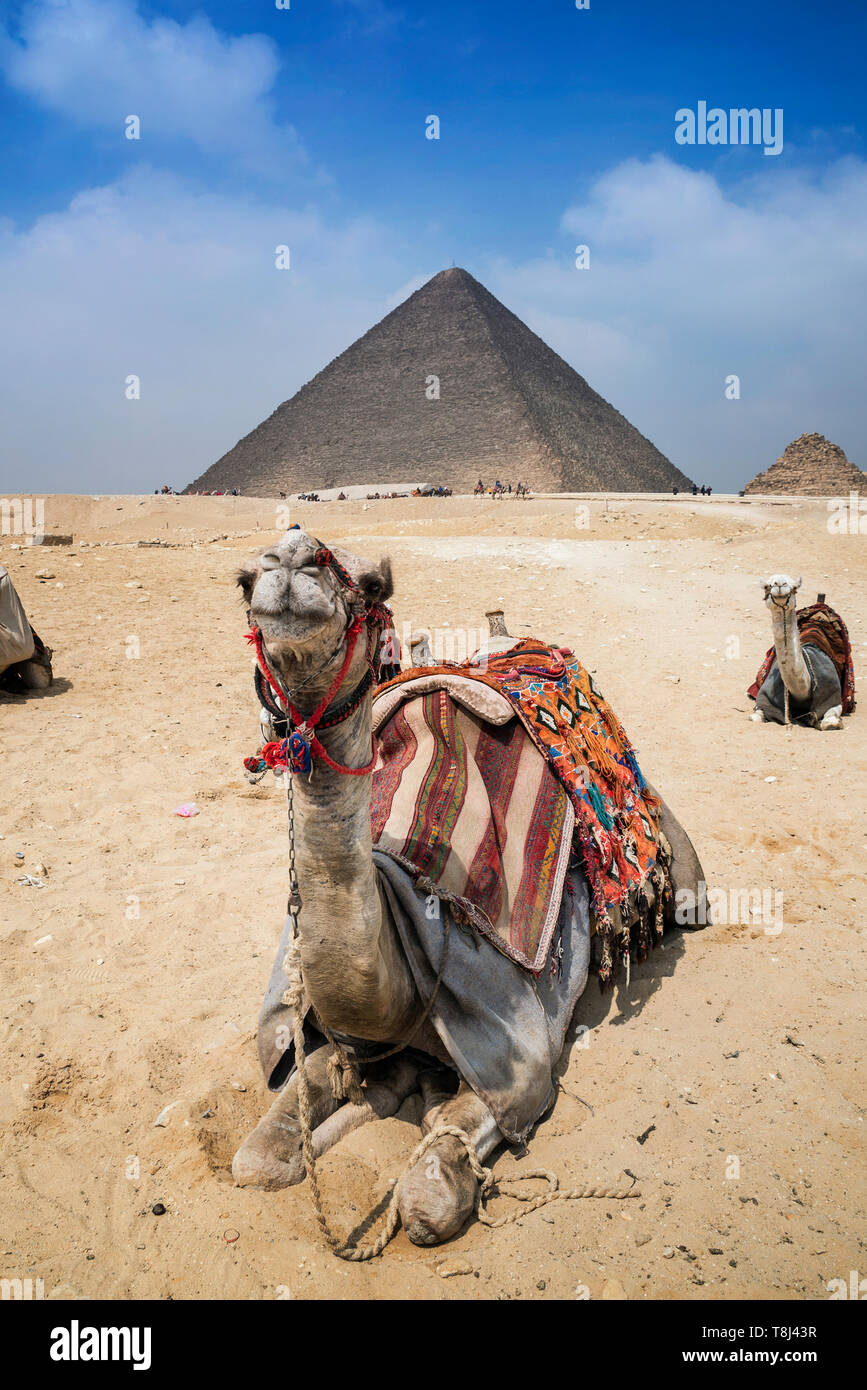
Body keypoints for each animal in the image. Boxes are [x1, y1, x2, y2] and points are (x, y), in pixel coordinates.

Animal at [231, 529, 706, 1245]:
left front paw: (417, 1120)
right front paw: (370, 1099)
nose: (292, 559)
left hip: (672, 863)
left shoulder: (520, 1049)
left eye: (374, 585)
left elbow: (430, 1189)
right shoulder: (325, 1031)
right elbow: (258, 1157)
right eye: (241, 581)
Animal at [750, 575, 843, 729]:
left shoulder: (834, 700)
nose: (780, 584)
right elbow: (755, 717)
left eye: (794, 587)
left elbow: (830, 723)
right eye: (767, 586)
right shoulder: (765, 700)